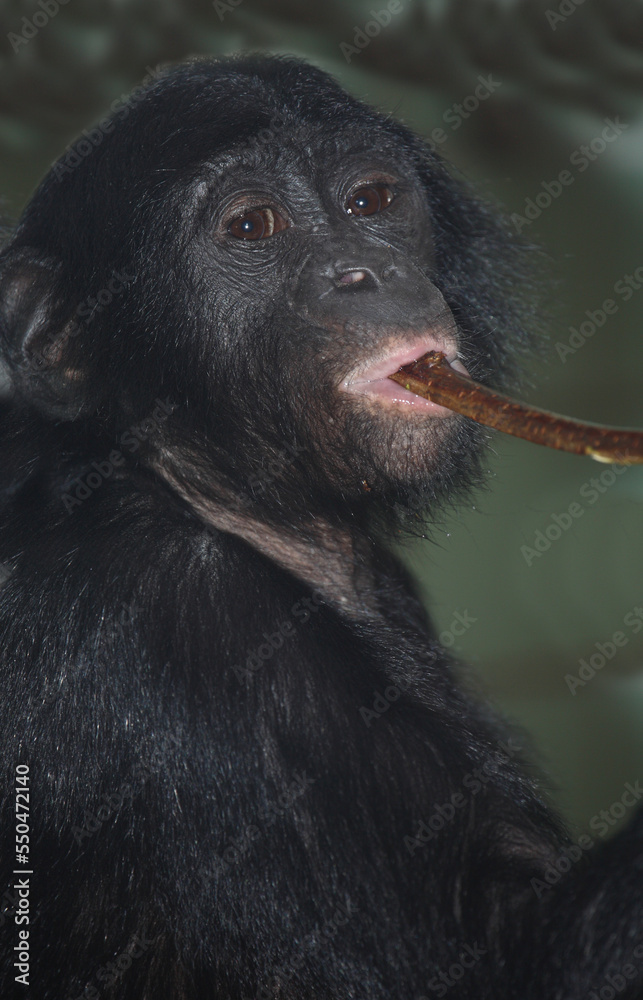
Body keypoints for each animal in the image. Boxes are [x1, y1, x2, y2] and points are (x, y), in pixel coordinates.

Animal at [0, 53, 641, 999]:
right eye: (251, 225)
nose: (364, 270)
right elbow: (484, 968)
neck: (215, 491)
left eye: (370, 202)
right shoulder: (159, 626)